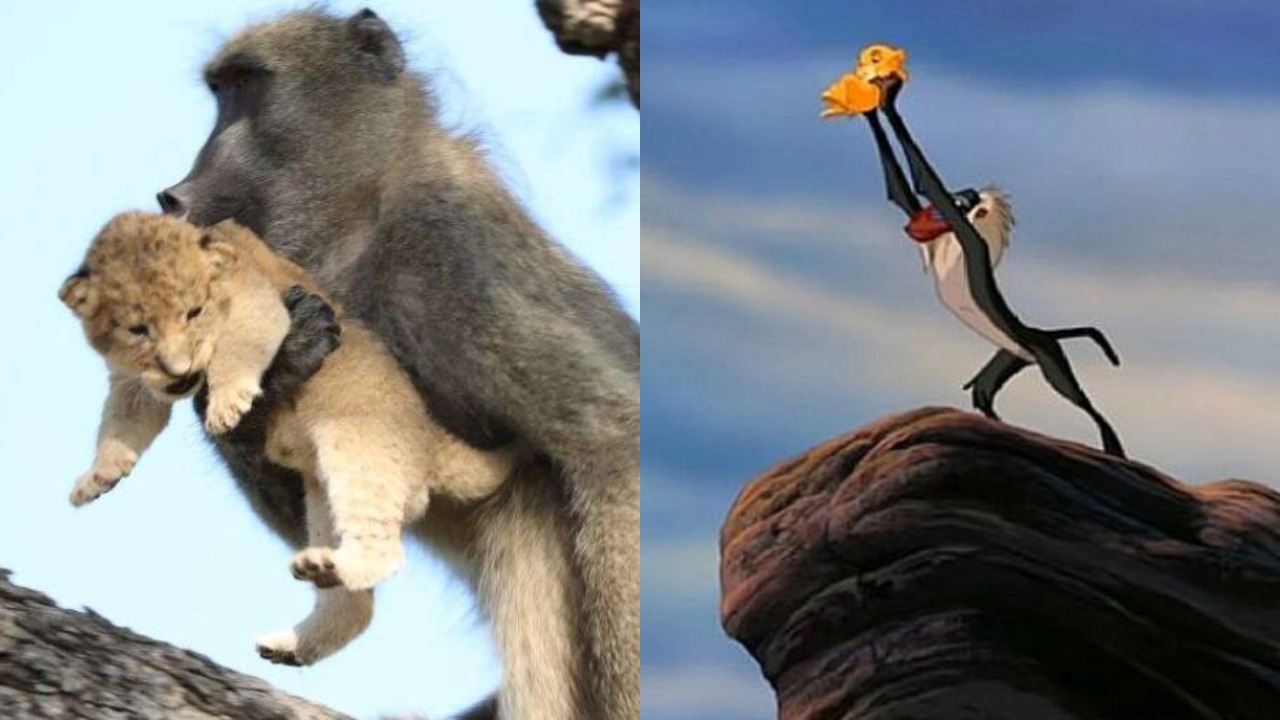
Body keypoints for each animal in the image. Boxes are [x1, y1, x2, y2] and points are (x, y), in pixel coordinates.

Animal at [59, 211, 519, 665]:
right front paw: (97, 476)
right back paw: (293, 638)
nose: (179, 370)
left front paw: (227, 403)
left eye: (194, 312)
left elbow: (239, 348)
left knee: (386, 550)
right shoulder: (132, 380)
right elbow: (123, 420)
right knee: (356, 606)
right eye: (138, 329)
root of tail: (429, 436)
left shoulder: (258, 303)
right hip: (321, 501)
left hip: (355, 449)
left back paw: (329, 572)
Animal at [156, 9, 638, 719]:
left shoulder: (453, 251)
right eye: (220, 90)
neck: (360, 214)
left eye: (245, 86)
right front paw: (280, 365)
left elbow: (612, 438)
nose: (174, 195)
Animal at [857, 74, 1125, 457]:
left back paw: (1111, 446)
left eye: (961, 199)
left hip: (1047, 356)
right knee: (983, 392)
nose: (917, 226)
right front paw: (870, 103)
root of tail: (1037, 332)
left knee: (1081, 401)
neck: (952, 240)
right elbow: (900, 190)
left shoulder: (962, 229)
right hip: (1011, 355)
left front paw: (889, 98)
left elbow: (924, 179)